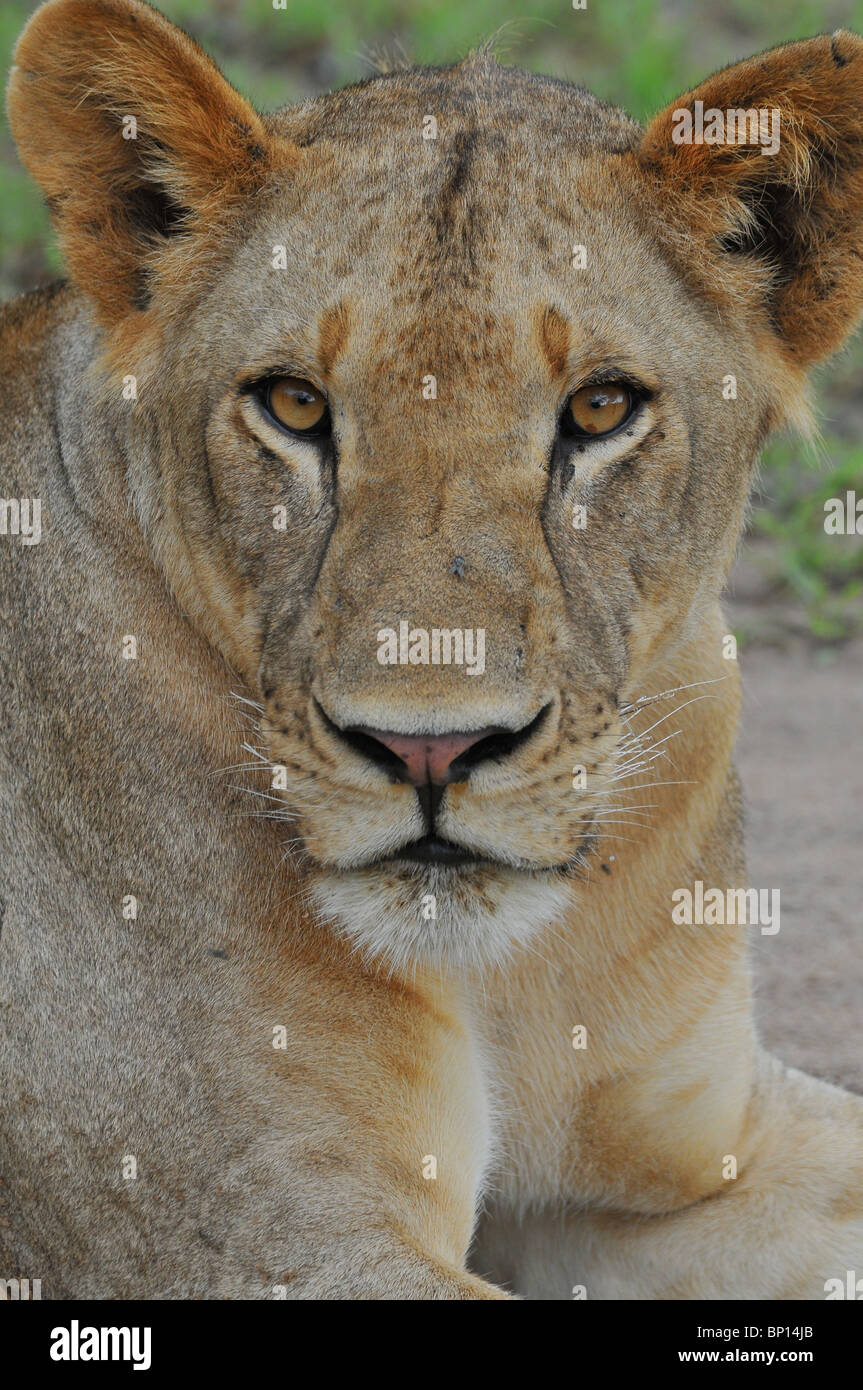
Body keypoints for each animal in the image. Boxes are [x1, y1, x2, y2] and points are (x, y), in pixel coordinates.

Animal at [1, 0, 862, 1299]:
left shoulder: (686, 1150)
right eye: (294, 406)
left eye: (600, 410)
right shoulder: (273, 1234)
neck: (516, 973)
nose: (429, 752)